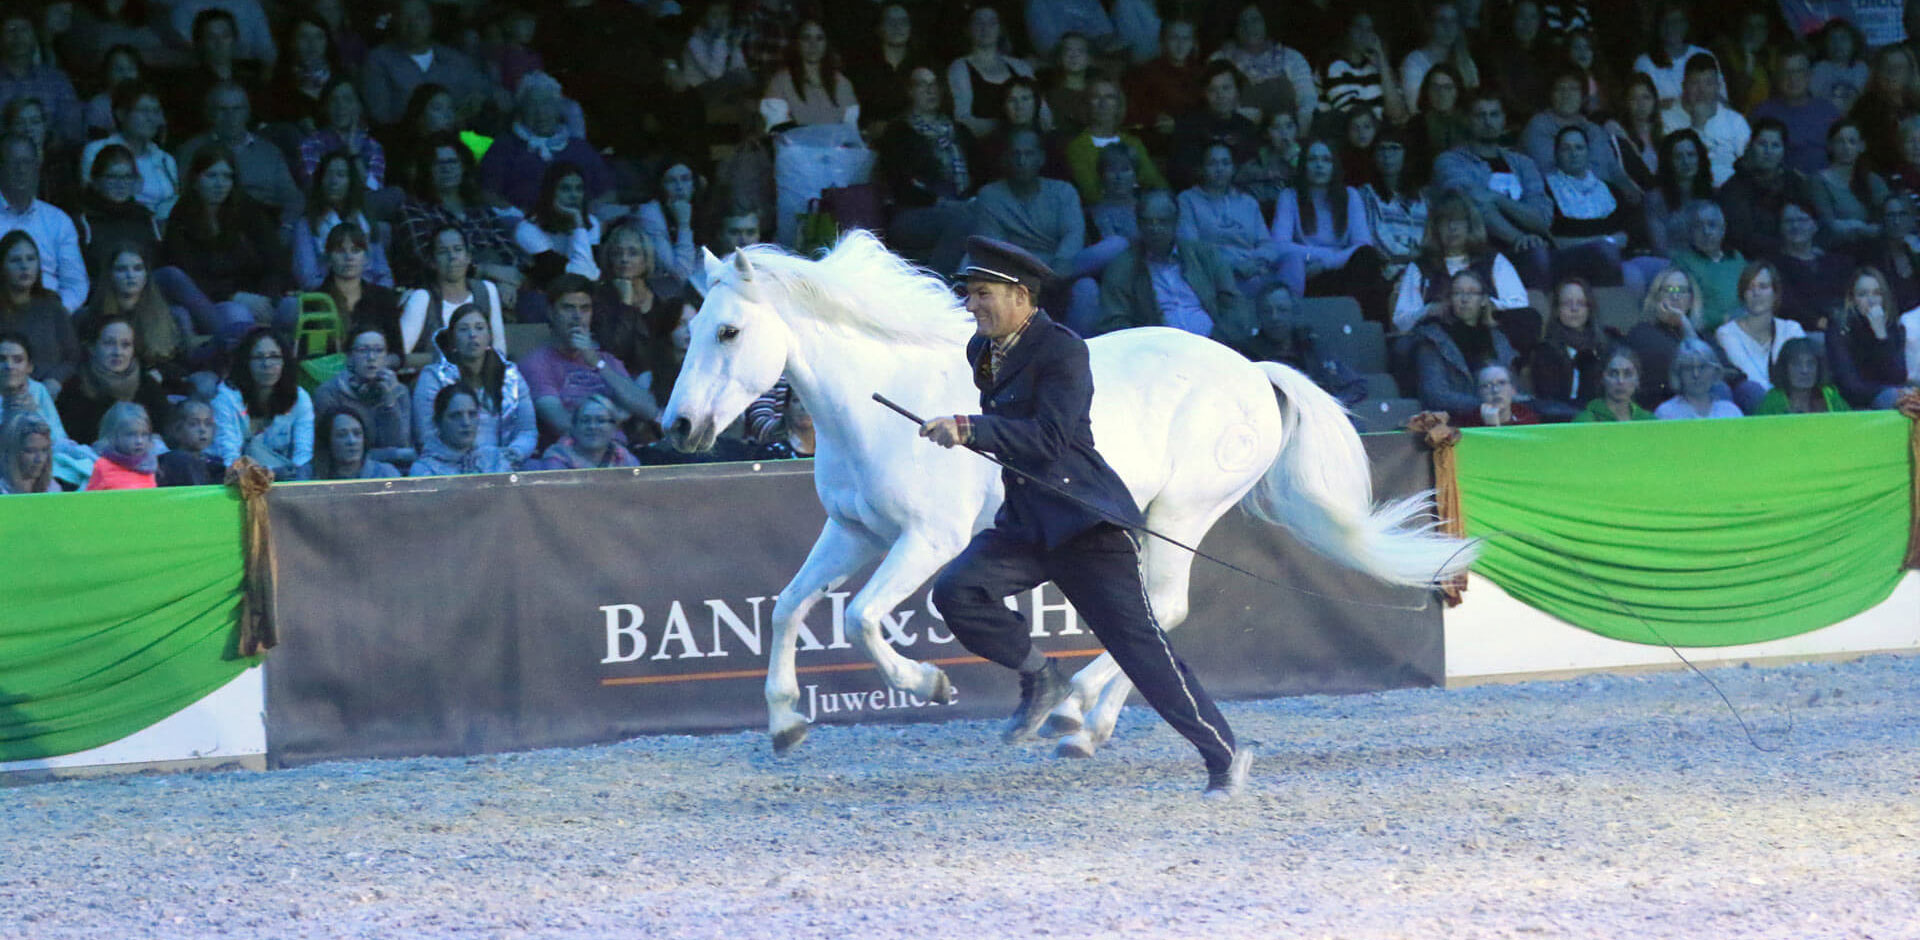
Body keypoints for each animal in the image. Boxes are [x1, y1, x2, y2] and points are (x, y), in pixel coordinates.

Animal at [662, 231, 1474, 758]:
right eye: (692, 329)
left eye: (728, 331)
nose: (679, 426)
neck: (884, 408)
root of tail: (1255, 372)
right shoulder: (852, 531)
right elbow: (789, 607)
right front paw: (784, 723)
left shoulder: (927, 541)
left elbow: (860, 617)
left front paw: (929, 685)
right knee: (1146, 618)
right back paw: (1087, 728)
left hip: (1183, 512)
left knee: (1161, 610)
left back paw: (1075, 712)